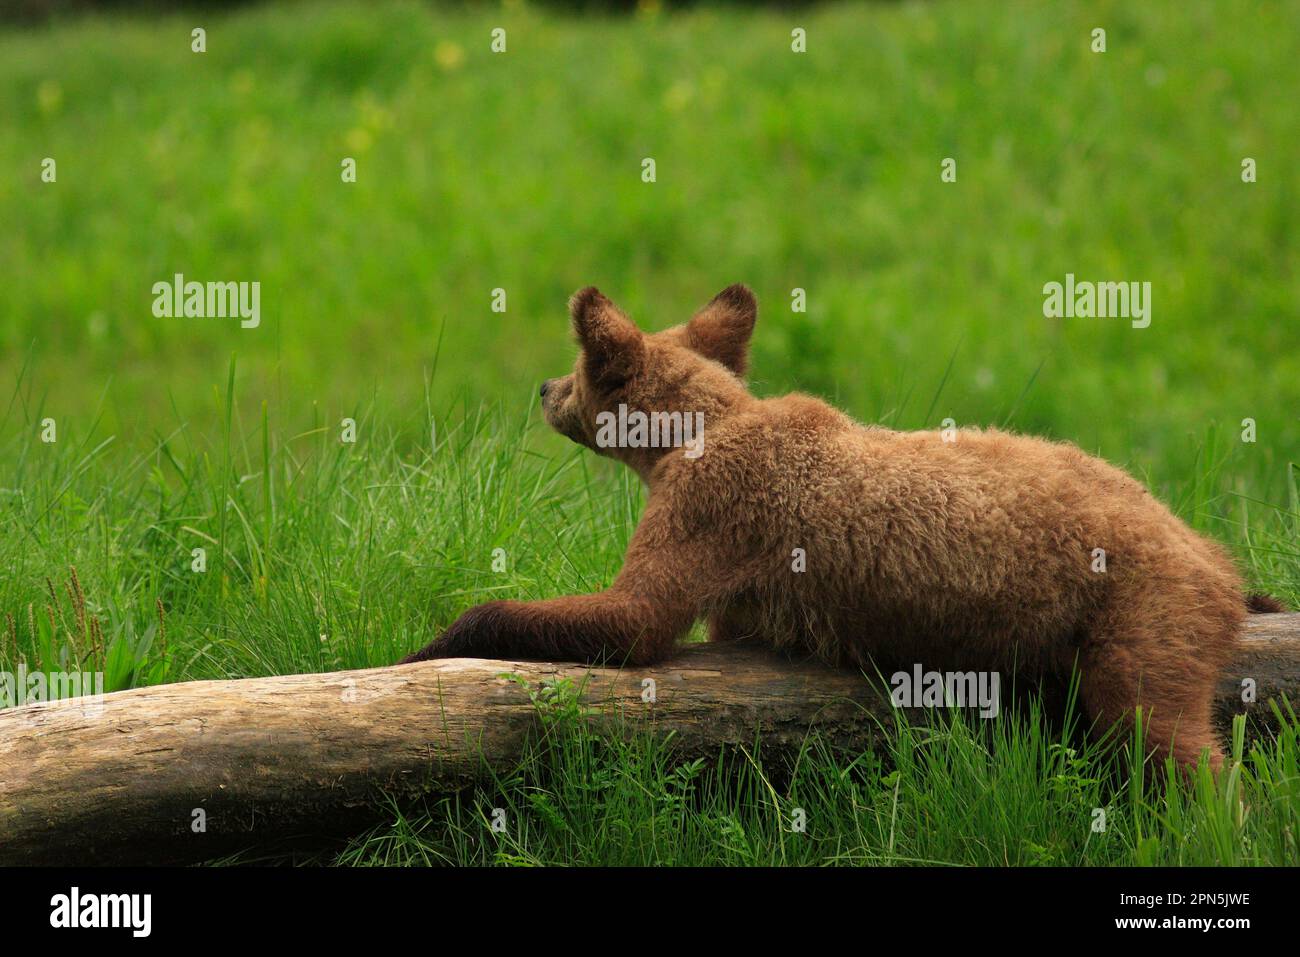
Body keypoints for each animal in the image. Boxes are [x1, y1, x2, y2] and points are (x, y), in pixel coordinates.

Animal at [401, 284, 1279, 769]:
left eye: (578, 366)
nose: (545, 388)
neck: (685, 439)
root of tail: (1212, 556)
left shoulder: (709, 511)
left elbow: (634, 614)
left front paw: (431, 642)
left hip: (1142, 607)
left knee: (1166, 732)